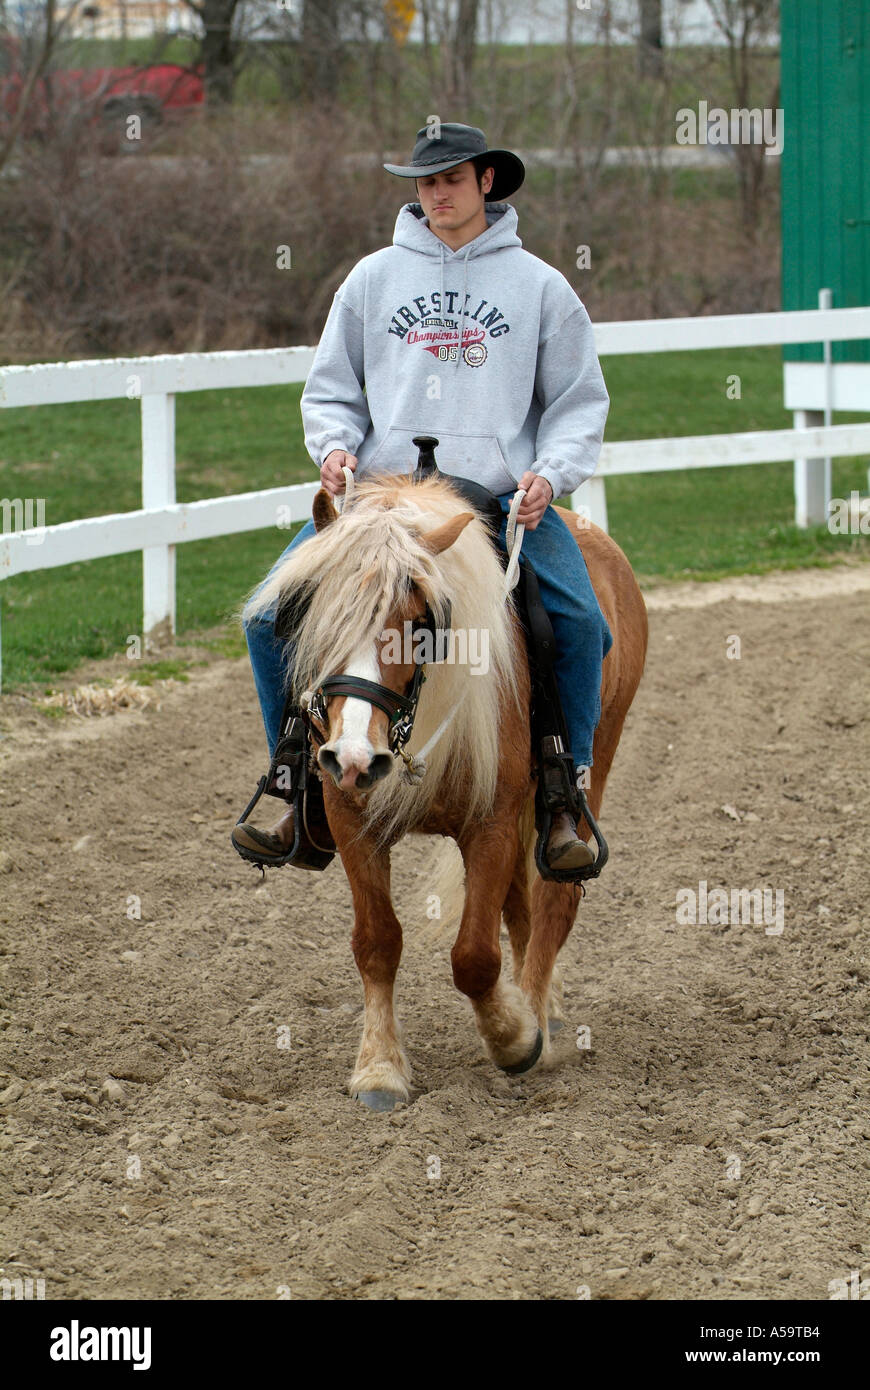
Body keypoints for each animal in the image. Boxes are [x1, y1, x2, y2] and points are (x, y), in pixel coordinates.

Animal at [243, 472, 647, 1110]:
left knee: (554, 904)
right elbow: (377, 942)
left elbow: (475, 957)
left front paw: (514, 1039)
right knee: (521, 909)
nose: (353, 756)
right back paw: (541, 1005)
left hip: (591, 770)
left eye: (419, 622)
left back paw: (537, 1014)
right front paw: (380, 1069)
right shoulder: (351, 819)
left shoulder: (491, 823)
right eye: (315, 614)